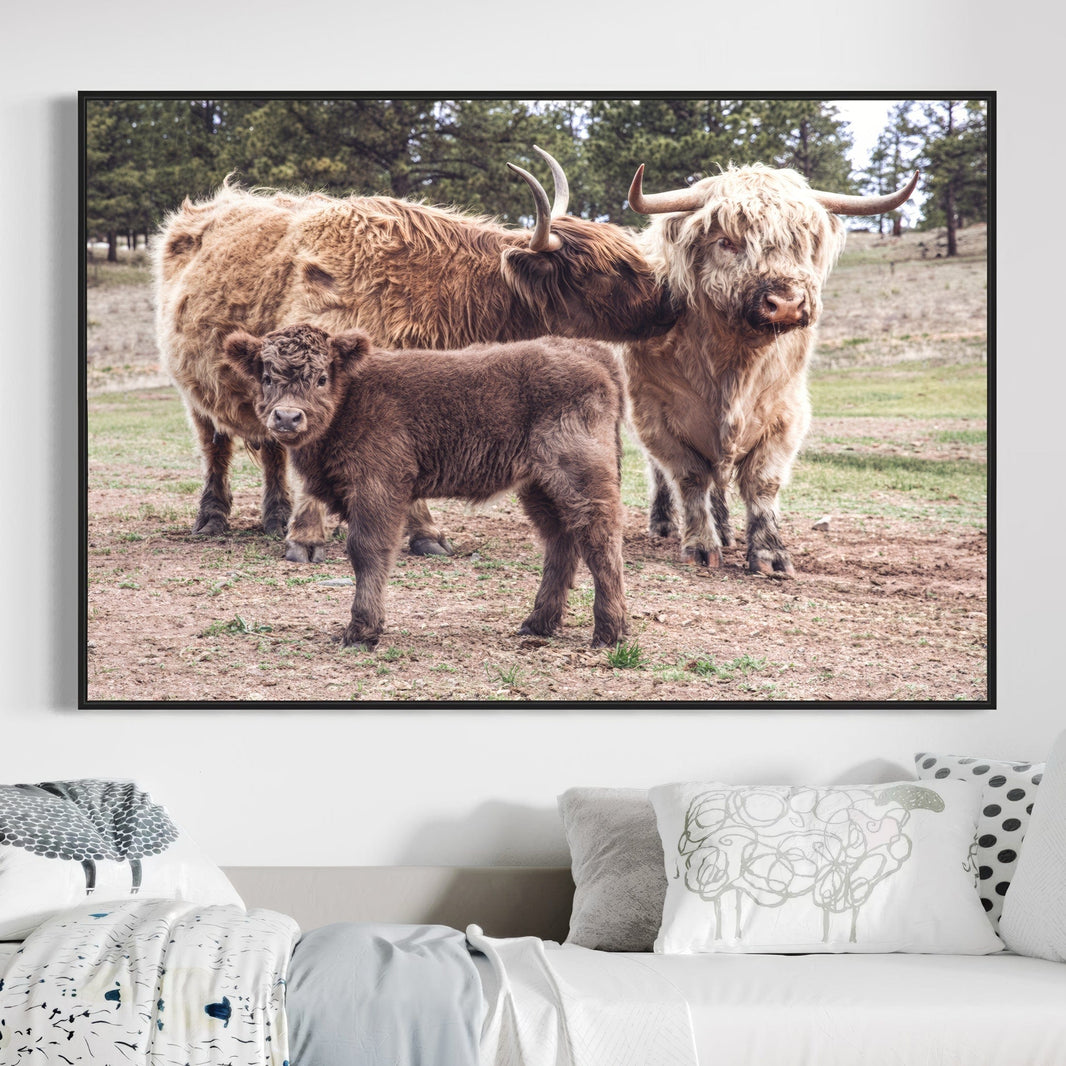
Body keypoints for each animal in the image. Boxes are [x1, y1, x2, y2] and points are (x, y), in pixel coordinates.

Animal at [154, 149, 676, 563]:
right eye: (601, 271)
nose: (670, 302)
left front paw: (423, 534)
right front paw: (307, 540)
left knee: (270, 452)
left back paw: (275, 516)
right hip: (198, 388)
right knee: (216, 447)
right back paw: (213, 518)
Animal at [218, 324, 630, 650]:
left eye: (321, 378)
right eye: (267, 377)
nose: (287, 416)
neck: (351, 399)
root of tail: (584, 349)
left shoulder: (378, 486)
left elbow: (366, 550)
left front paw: (361, 631)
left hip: (581, 477)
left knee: (599, 541)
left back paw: (609, 632)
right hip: (539, 487)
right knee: (560, 542)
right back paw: (539, 623)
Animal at [621, 163, 919, 576]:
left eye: (802, 242)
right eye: (726, 241)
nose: (787, 303)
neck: (734, 366)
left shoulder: (784, 414)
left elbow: (762, 482)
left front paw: (770, 554)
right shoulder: (656, 415)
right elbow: (689, 478)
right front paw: (700, 546)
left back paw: (726, 531)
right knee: (664, 474)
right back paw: (664, 524)